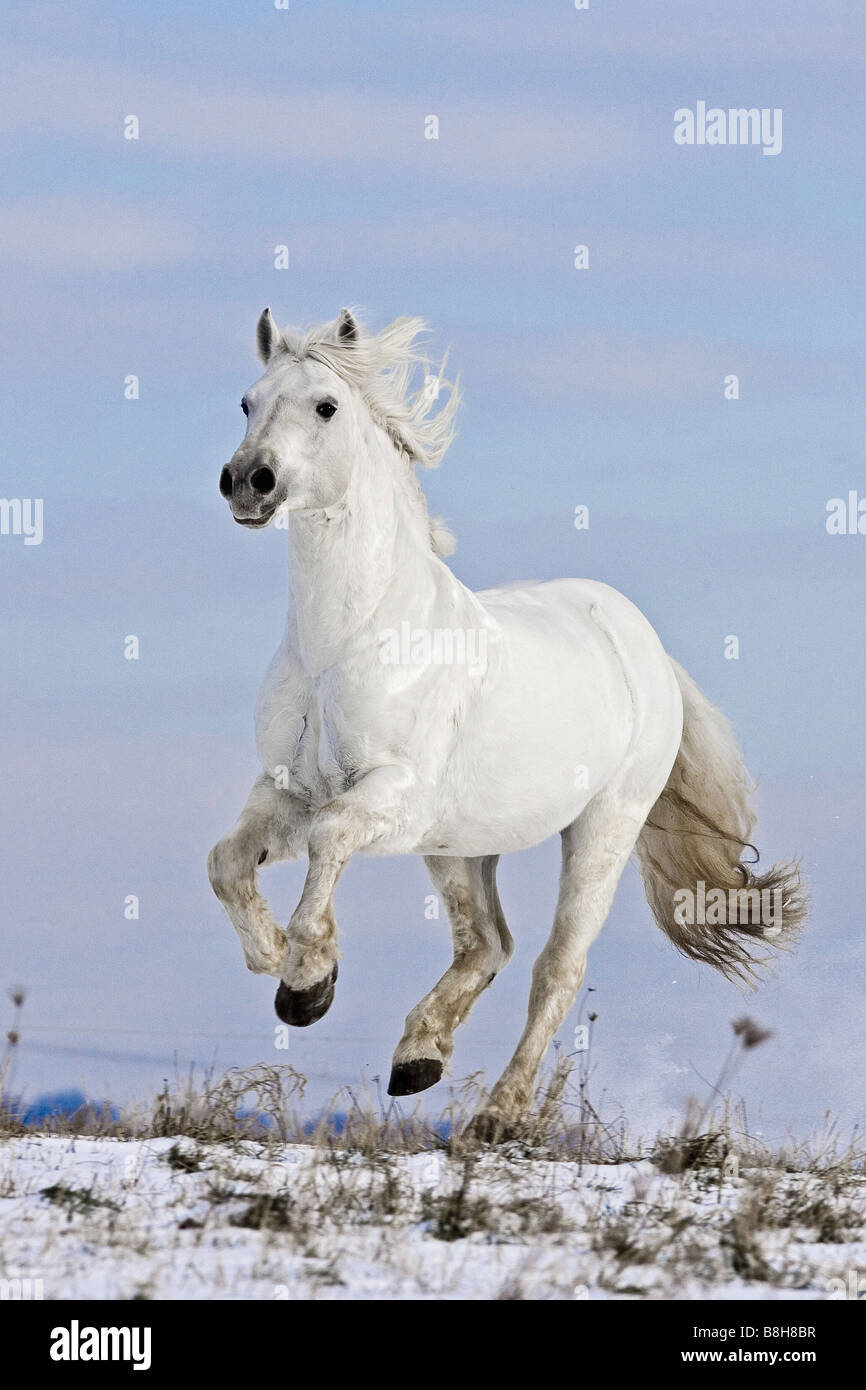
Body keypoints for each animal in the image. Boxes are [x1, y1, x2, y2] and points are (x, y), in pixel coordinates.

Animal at [208, 307, 806, 1138]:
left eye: (325, 406)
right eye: (247, 402)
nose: (247, 481)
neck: (347, 641)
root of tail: (642, 647)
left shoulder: (390, 796)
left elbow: (328, 841)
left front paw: (306, 982)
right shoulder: (288, 790)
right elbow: (226, 863)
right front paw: (277, 963)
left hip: (601, 828)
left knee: (555, 966)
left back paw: (498, 1115)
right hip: (460, 843)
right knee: (486, 944)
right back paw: (418, 1059)